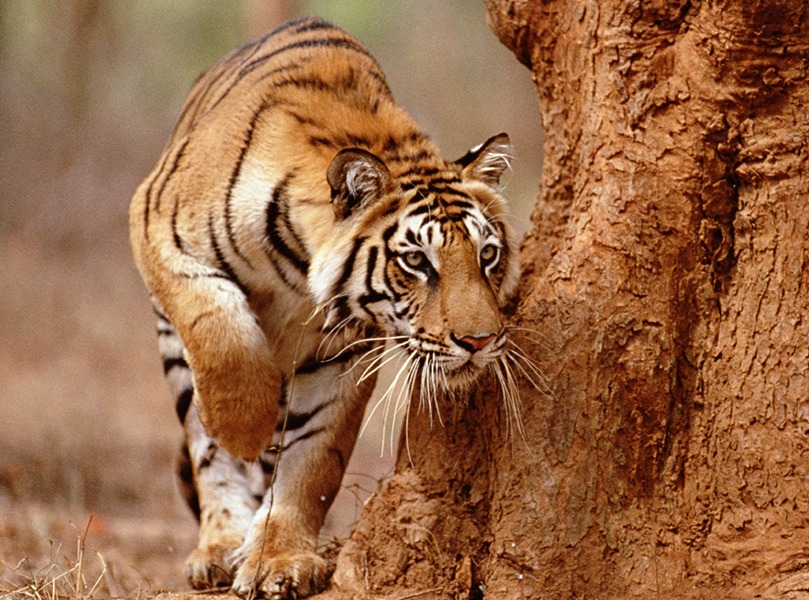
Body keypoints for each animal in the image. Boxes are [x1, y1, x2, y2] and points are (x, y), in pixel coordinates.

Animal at [130, 16, 525, 600]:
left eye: (488, 255)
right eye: (416, 261)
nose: (479, 342)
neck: (296, 271)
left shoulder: (342, 351)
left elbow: (312, 461)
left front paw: (278, 561)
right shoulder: (156, 223)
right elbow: (222, 336)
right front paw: (243, 424)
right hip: (173, 350)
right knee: (205, 449)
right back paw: (218, 545)